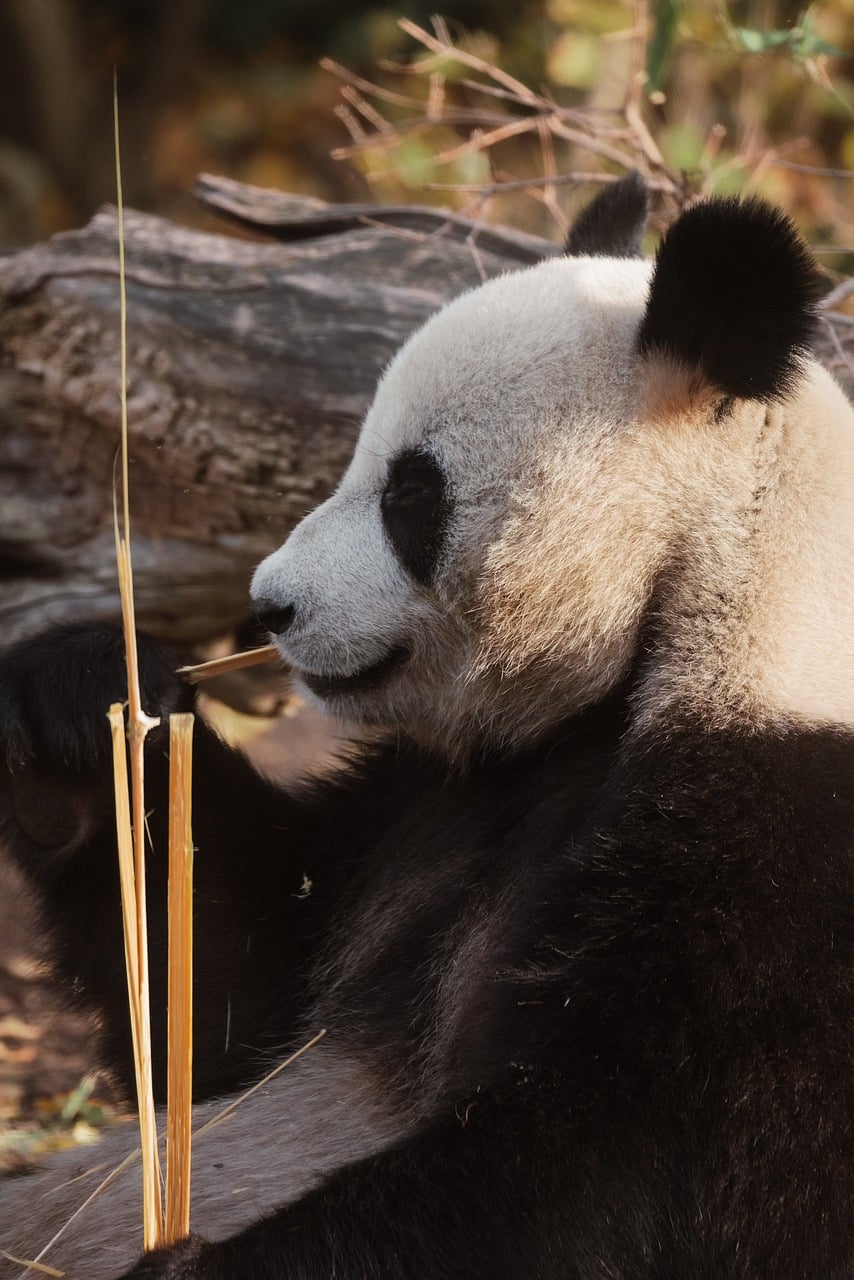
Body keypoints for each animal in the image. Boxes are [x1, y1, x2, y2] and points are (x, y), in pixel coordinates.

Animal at [1, 172, 854, 1279]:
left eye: (412, 491)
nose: (270, 606)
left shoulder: (776, 848)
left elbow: (615, 1174)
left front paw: (192, 1264)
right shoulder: (445, 796)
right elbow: (239, 994)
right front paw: (72, 709)